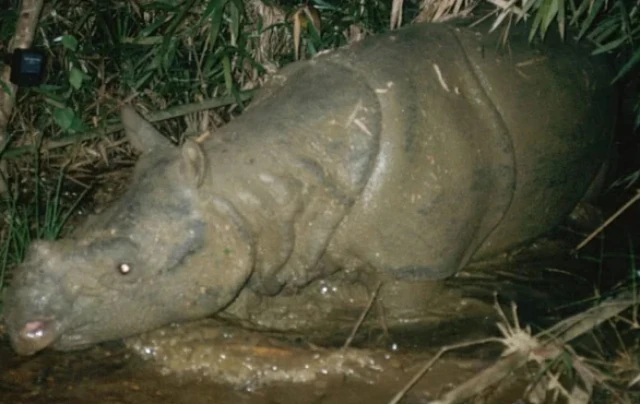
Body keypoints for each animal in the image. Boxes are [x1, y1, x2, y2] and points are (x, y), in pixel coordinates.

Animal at [3, 20, 616, 355]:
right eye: (79, 224)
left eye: (125, 270)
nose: (19, 325)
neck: (242, 180)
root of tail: (590, 51)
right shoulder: (253, 235)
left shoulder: (417, 265)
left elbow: (403, 310)